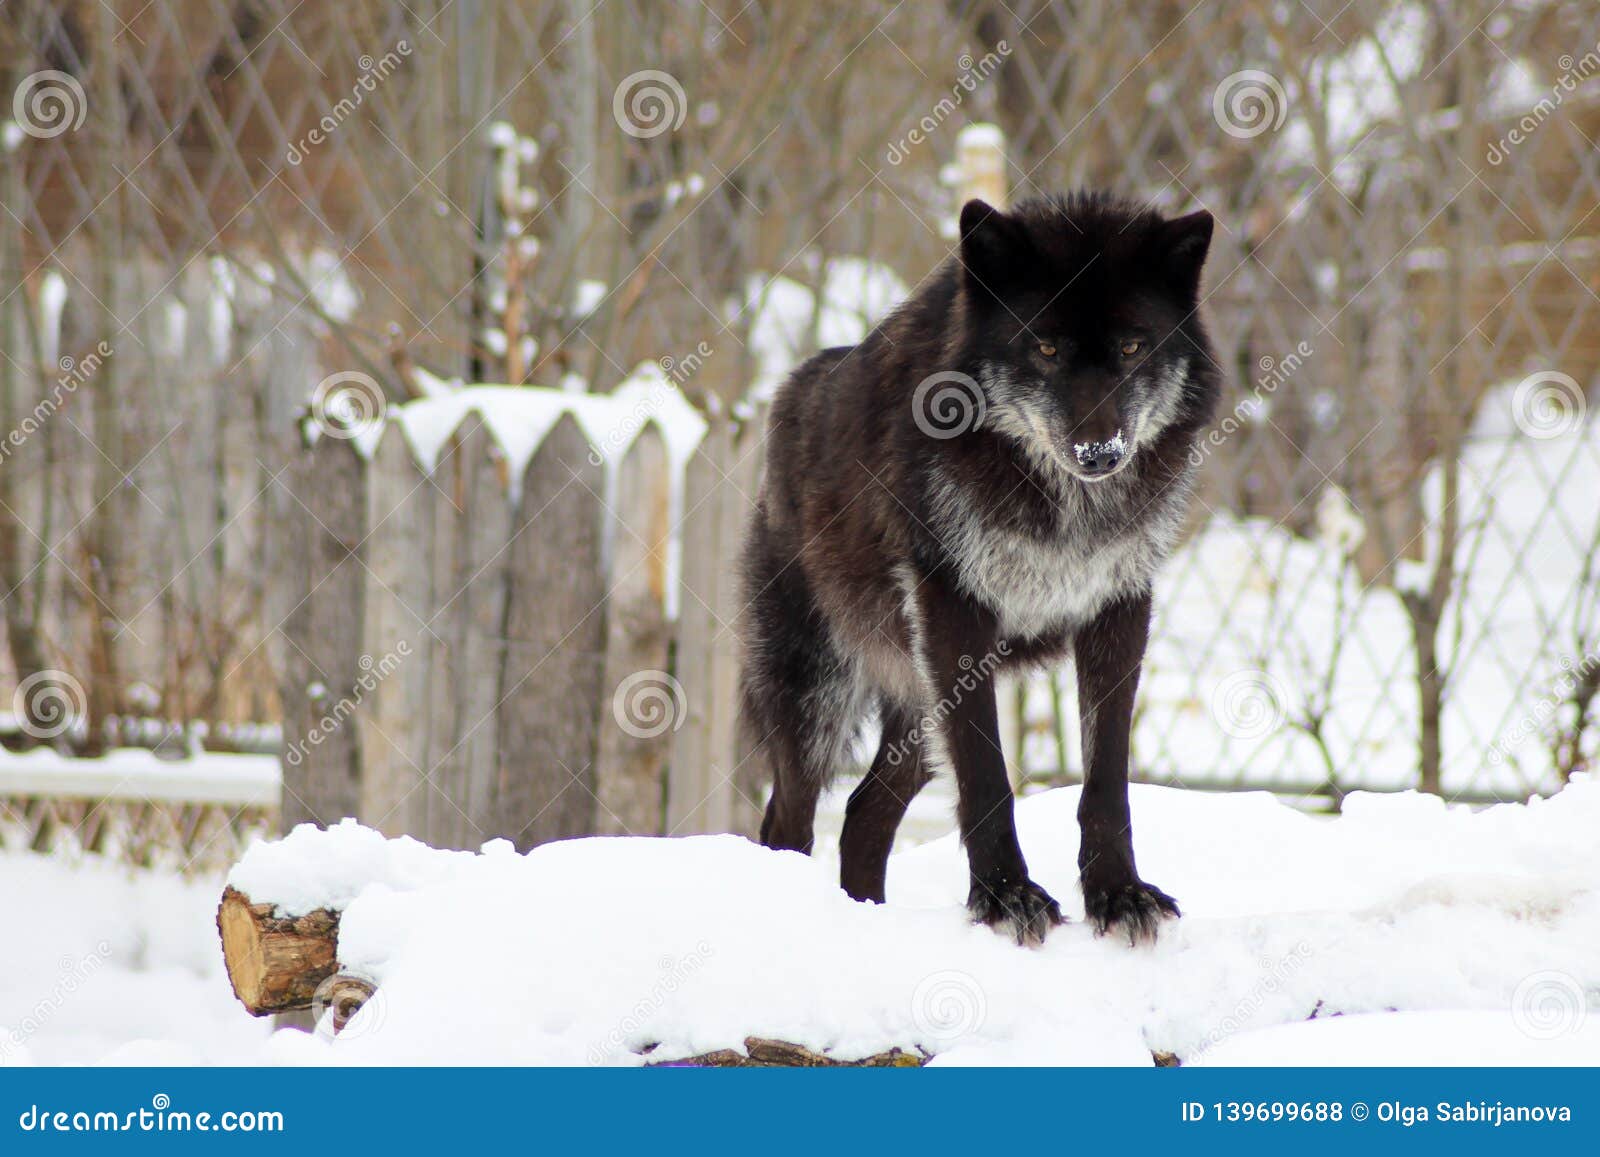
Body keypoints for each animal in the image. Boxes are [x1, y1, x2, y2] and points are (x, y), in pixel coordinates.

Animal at [738, 193, 1220, 945]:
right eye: (1045, 348)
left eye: (1133, 347)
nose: (1100, 452)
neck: (1063, 510)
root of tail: (792, 391)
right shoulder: (955, 609)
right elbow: (988, 774)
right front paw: (1006, 896)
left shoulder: (1119, 606)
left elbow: (1107, 778)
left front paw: (1118, 895)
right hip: (815, 696)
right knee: (787, 820)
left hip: (913, 708)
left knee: (864, 816)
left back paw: (867, 917)